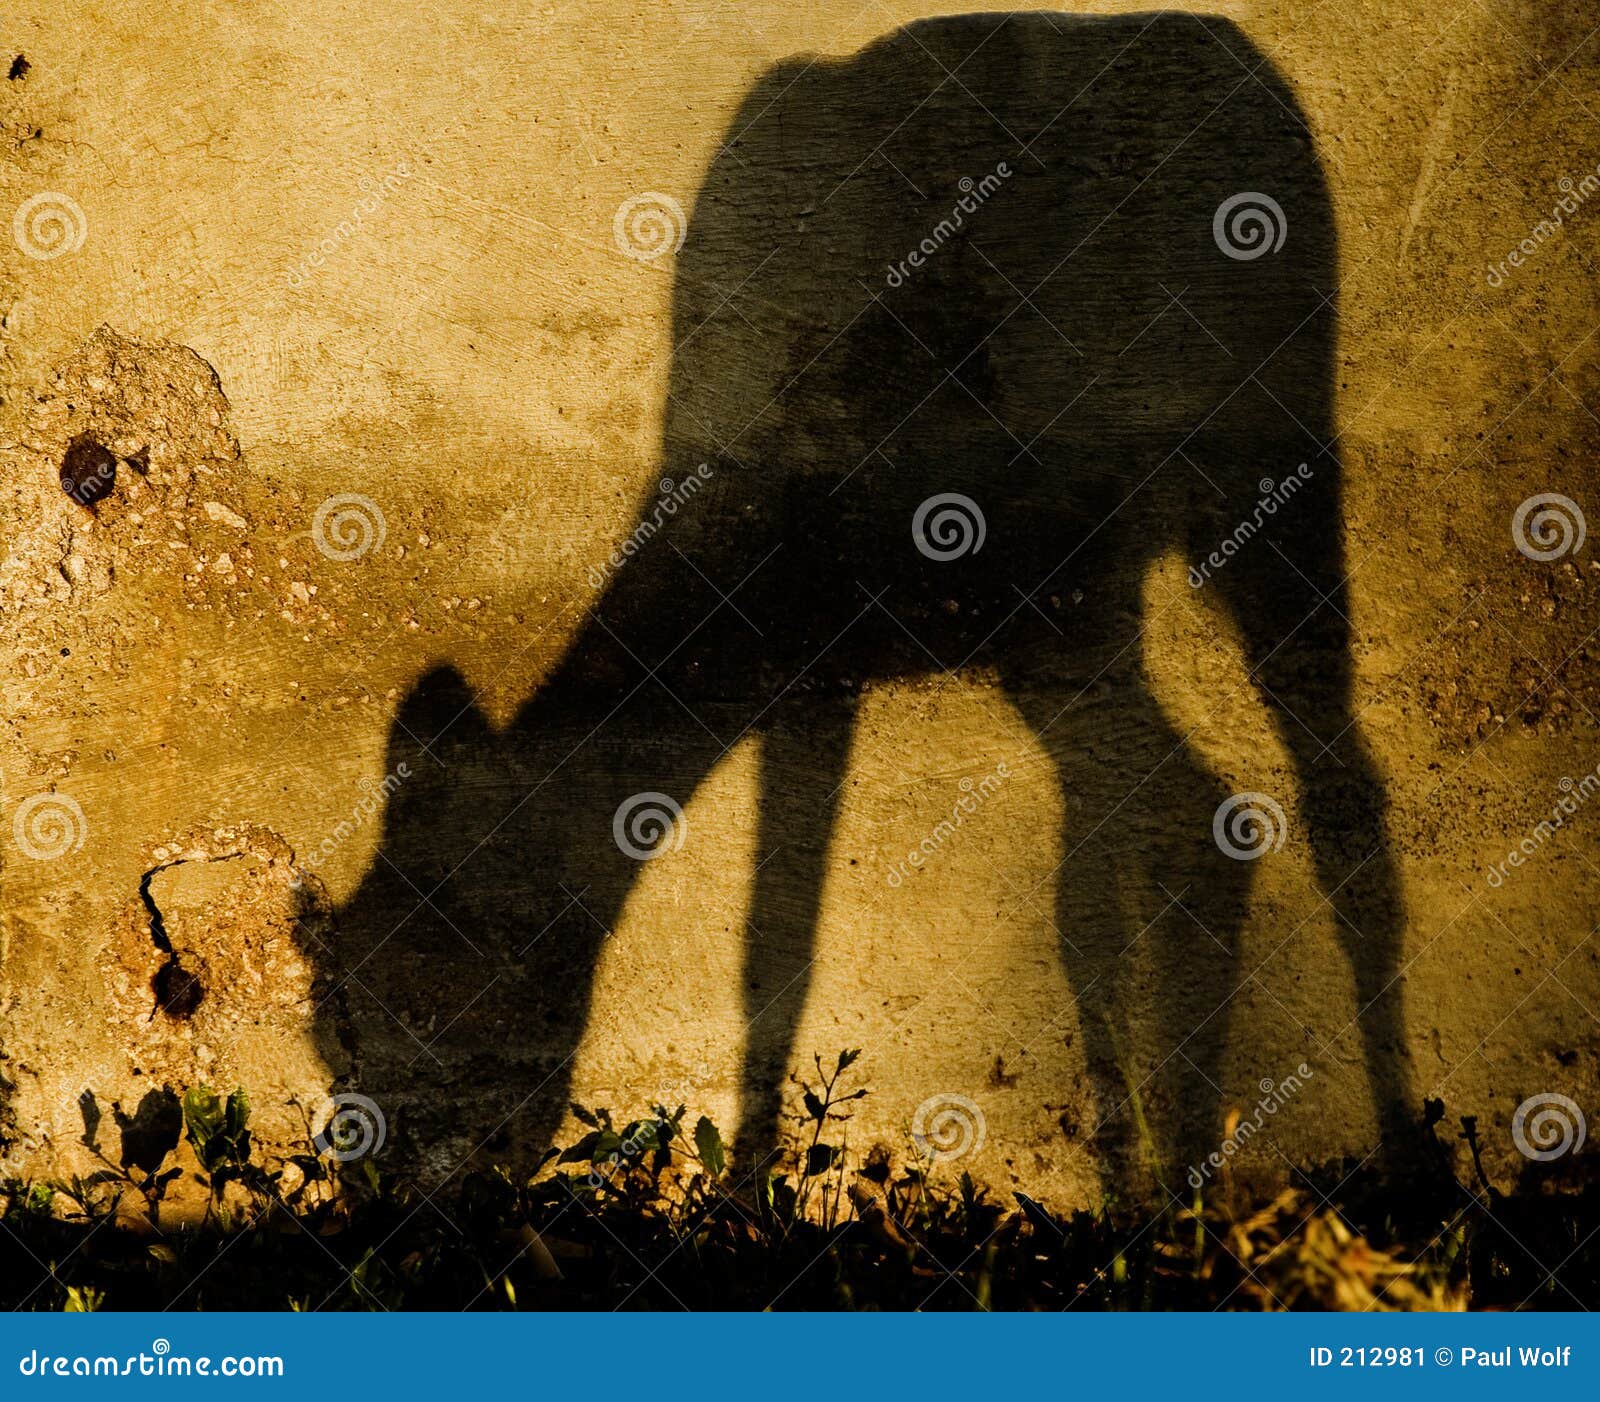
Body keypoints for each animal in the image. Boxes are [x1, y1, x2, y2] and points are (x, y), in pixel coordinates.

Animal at [329, 11, 1414, 1191]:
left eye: (439, 1004)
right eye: (332, 1029)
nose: (378, 1178)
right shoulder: (856, 656)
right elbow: (793, 937)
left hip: (1260, 462)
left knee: (1281, 791)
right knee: (1223, 807)